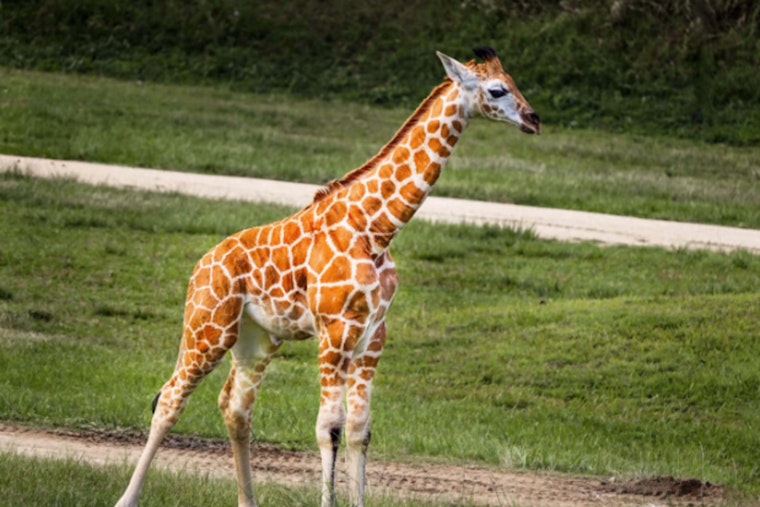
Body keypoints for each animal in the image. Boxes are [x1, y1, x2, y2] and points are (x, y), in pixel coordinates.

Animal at [115, 46, 539, 507]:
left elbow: (359, 429)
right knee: (171, 398)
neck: (376, 229)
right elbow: (328, 427)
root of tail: (201, 264)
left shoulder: (373, 335)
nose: (534, 118)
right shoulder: (335, 330)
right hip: (209, 325)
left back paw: (248, 501)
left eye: (514, 81)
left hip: (256, 338)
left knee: (236, 408)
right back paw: (127, 498)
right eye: (496, 90)